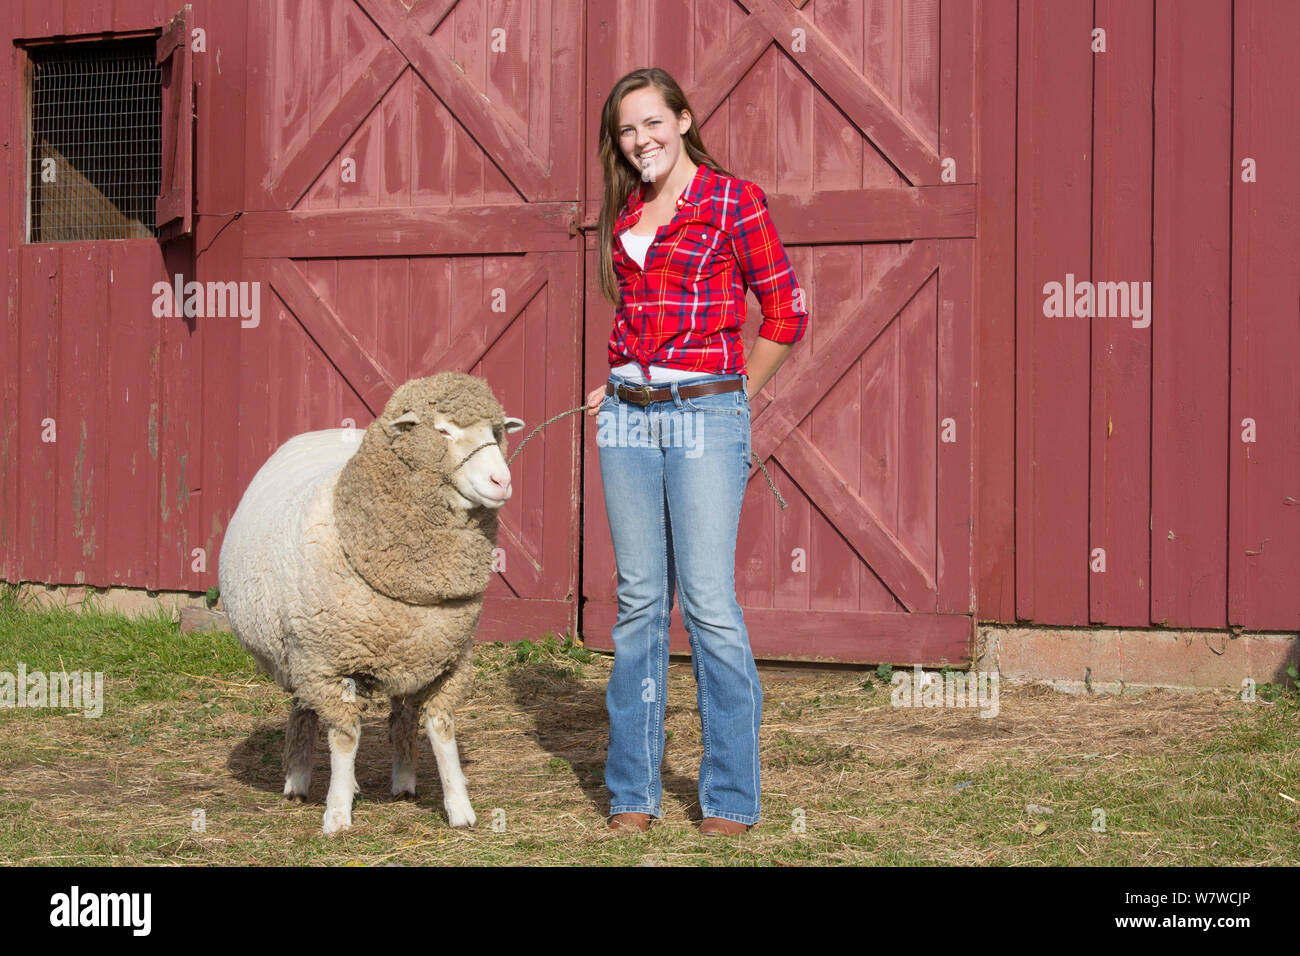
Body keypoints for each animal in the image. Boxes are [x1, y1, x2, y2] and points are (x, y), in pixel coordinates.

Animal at [217, 372, 524, 833]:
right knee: (304, 712)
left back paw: (404, 782)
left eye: (496, 432)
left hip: (401, 656)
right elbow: (346, 739)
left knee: (402, 719)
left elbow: (441, 729)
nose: (502, 482)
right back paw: (298, 781)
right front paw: (338, 812)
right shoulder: (329, 664)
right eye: (443, 431)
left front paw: (459, 807)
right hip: (299, 652)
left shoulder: (447, 659)